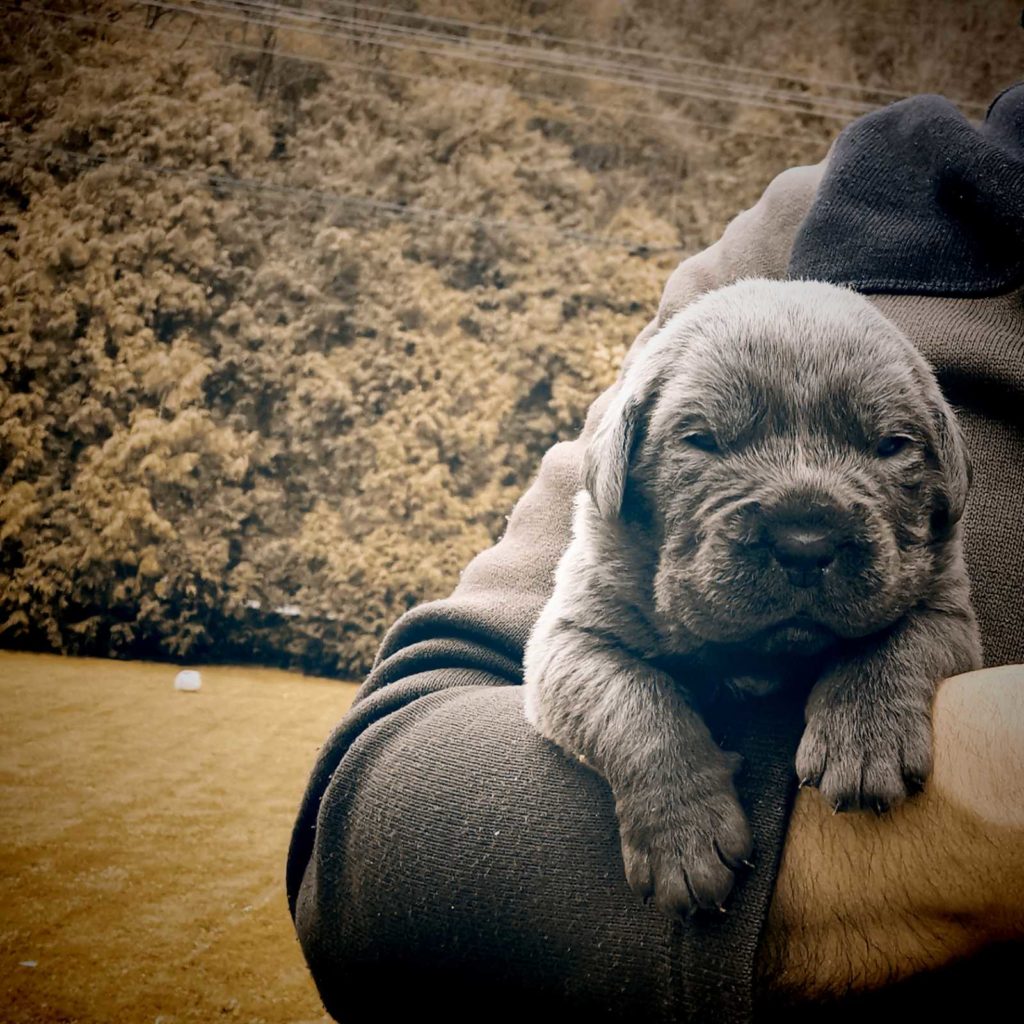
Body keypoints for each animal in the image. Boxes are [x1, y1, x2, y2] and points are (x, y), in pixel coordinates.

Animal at [524, 276, 978, 917]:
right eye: (701, 441)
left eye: (891, 445)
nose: (806, 542)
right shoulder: (572, 639)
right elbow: (637, 704)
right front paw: (684, 832)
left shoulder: (944, 603)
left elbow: (893, 638)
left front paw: (865, 739)